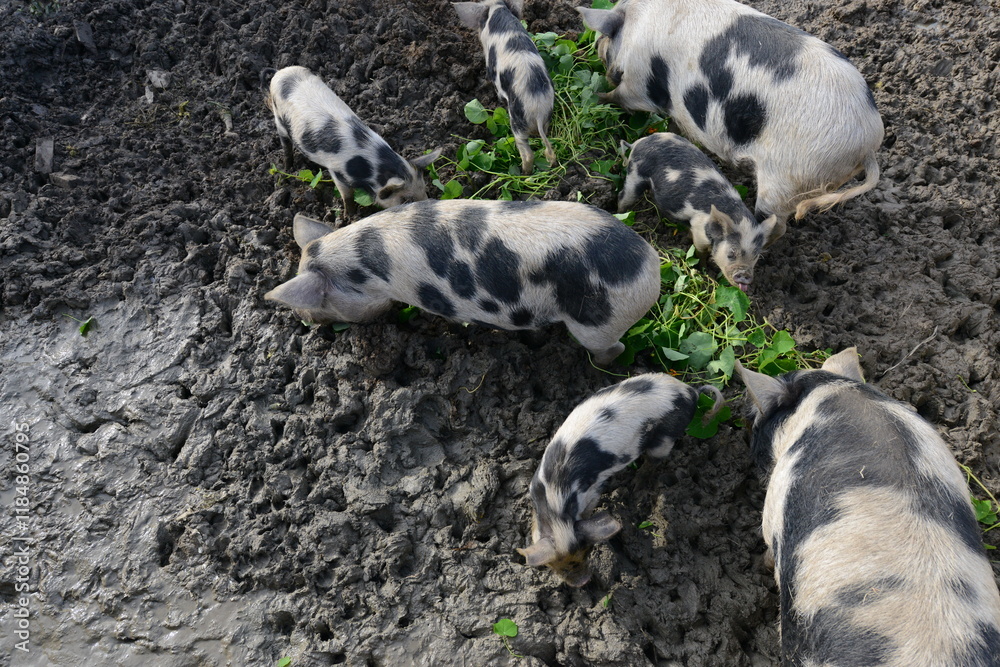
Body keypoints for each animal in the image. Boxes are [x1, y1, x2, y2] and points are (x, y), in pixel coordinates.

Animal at [264, 65, 441, 216]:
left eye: (425, 189)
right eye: (406, 200)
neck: (370, 166)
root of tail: (280, 72)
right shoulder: (337, 171)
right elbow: (347, 196)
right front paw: (349, 216)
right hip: (279, 120)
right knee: (286, 148)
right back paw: (286, 172)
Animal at [453, 0, 556, 175]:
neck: (497, 8)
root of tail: (538, 111)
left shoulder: (491, 65)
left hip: (517, 121)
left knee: (527, 153)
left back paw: (524, 173)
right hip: (547, 116)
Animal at [519, 374, 724, 586]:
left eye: (586, 553)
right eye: (557, 566)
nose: (584, 581)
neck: (555, 499)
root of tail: (690, 391)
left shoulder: (591, 490)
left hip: (666, 435)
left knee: (654, 461)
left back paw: (636, 487)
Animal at [578, 0, 884, 222]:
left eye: (604, 37)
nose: (597, 47)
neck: (634, 23)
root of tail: (867, 148)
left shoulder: (639, 80)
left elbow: (623, 97)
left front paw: (596, 96)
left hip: (790, 176)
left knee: (776, 219)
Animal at [618, 132, 784, 291]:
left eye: (756, 256)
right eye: (731, 253)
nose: (744, 275)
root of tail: (639, 142)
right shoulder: (698, 230)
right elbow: (700, 253)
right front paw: (704, 270)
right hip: (635, 175)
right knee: (622, 197)